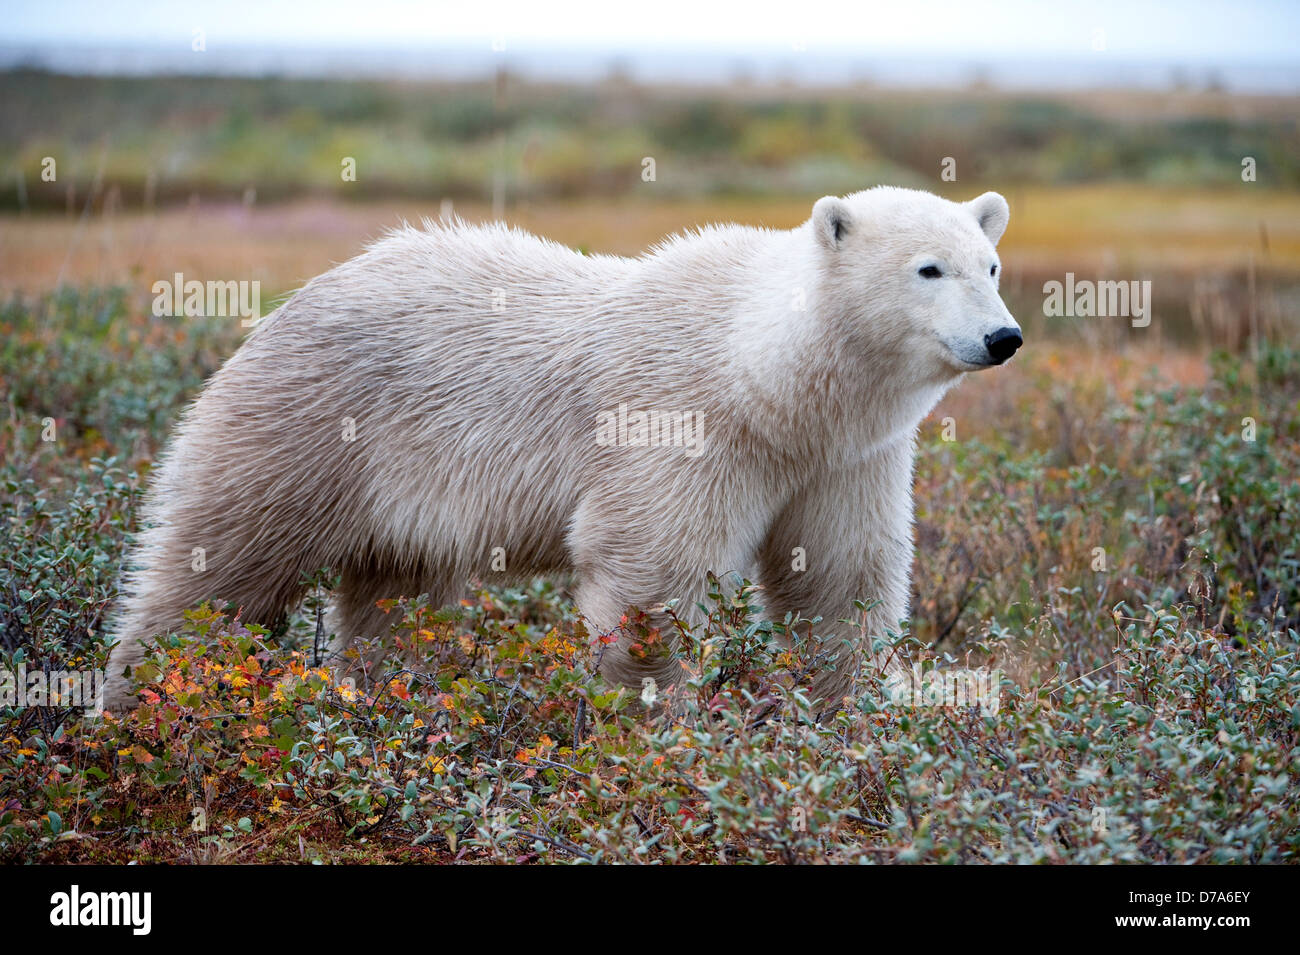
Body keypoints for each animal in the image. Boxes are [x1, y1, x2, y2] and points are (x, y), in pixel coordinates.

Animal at [101, 186, 1021, 713]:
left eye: (991, 263)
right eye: (929, 269)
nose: (1002, 337)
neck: (770, 382)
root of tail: (293, 299)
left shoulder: (847, 456)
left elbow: (840, 578)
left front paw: (842, 722)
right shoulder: (683, 421)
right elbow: (655, 576)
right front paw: (655, 730)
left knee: (394, 595)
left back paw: (388, 697)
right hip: (310, 424)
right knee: (220, 566)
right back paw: (144, 700)